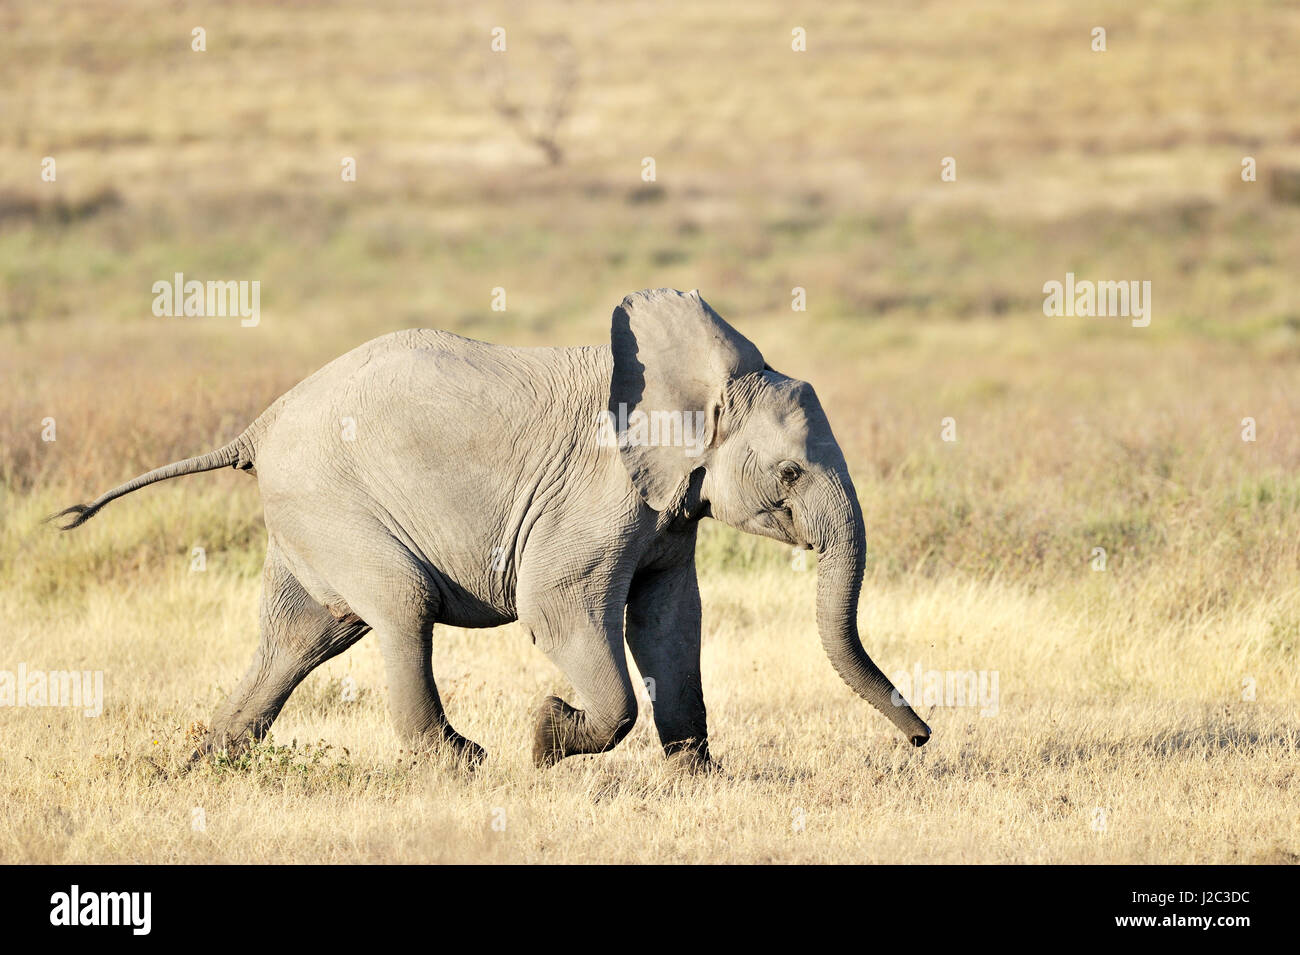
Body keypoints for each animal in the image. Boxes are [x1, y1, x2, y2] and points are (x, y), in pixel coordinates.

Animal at [53, 288, 931, 770]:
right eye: (790, 476)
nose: (922, 737)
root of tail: (258, 426)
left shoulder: (666, 510)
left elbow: (670, 619)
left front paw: (698, 779)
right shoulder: (598, 495)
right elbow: (562, 611)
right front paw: (544, 740)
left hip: (307, 515)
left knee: (303, 634)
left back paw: (206, 762)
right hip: (333, 501)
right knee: (399, 607)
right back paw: (461, 763)